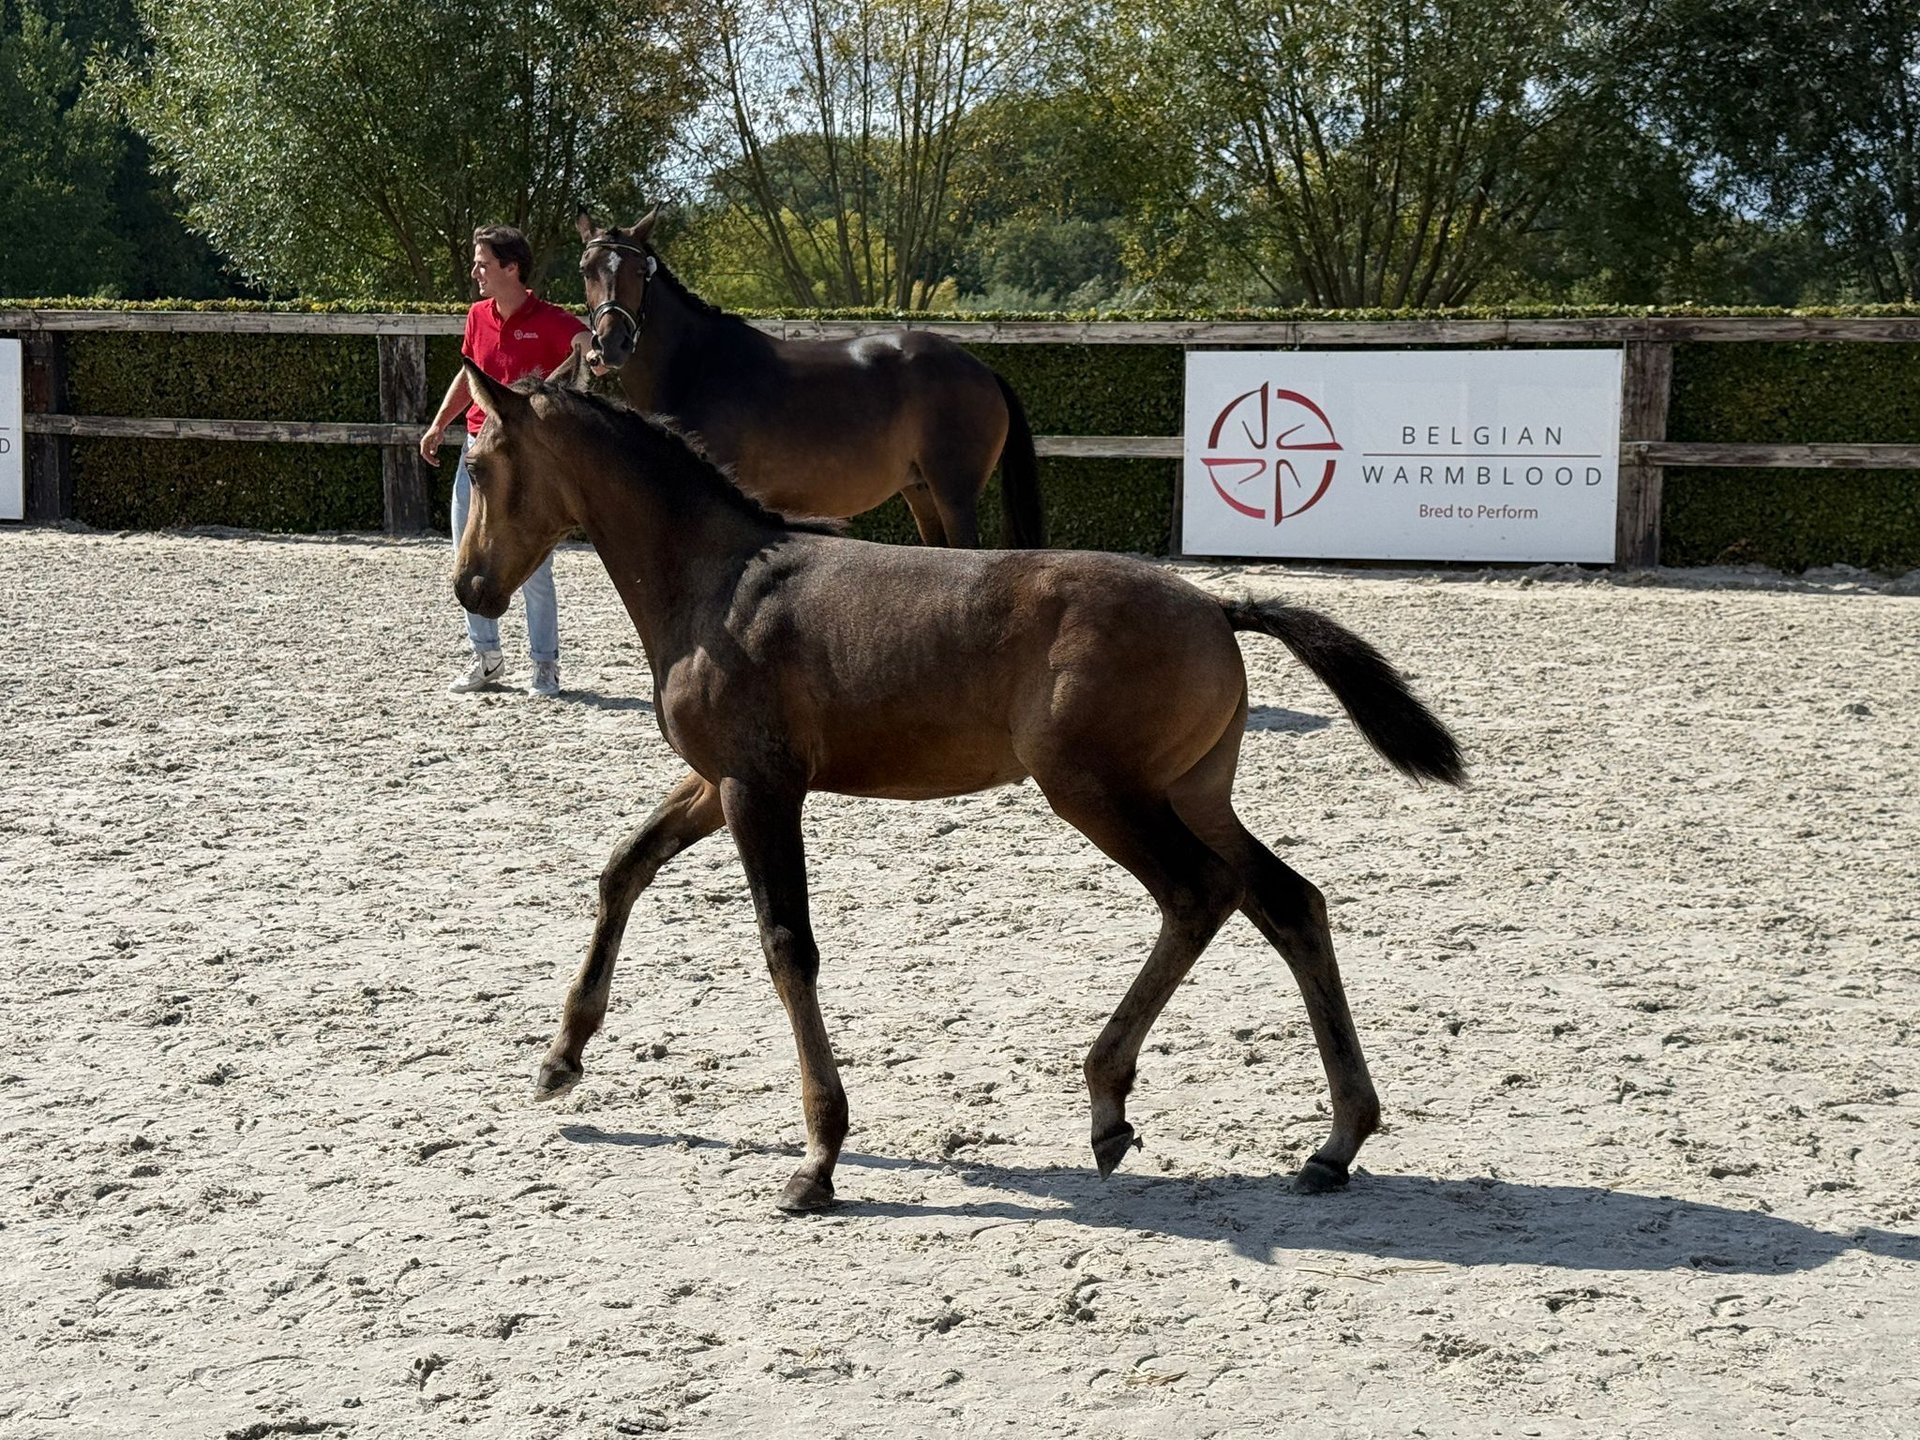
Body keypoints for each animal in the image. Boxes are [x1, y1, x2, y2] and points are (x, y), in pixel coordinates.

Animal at [451, 363, 1466, 1212]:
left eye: (478, 460)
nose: (469, 587)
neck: (719, 581)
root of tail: (1218, 608)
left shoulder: (758, 787)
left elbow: (787, 948)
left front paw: (819, 1160)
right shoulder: (716, 780)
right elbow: (624, 868)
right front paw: (560, 1058)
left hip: (1099, 793)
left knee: (1200, 894)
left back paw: (1109, 1103)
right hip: (1194, 794)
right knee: (1289, 903)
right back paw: (1335, 1144)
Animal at [573, 210, 1045, 550]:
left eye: (639, 271)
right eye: (586, 268)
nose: (611, 344)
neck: (695, 365)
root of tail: (982, 370)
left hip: (954, 494)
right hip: (921, 491)